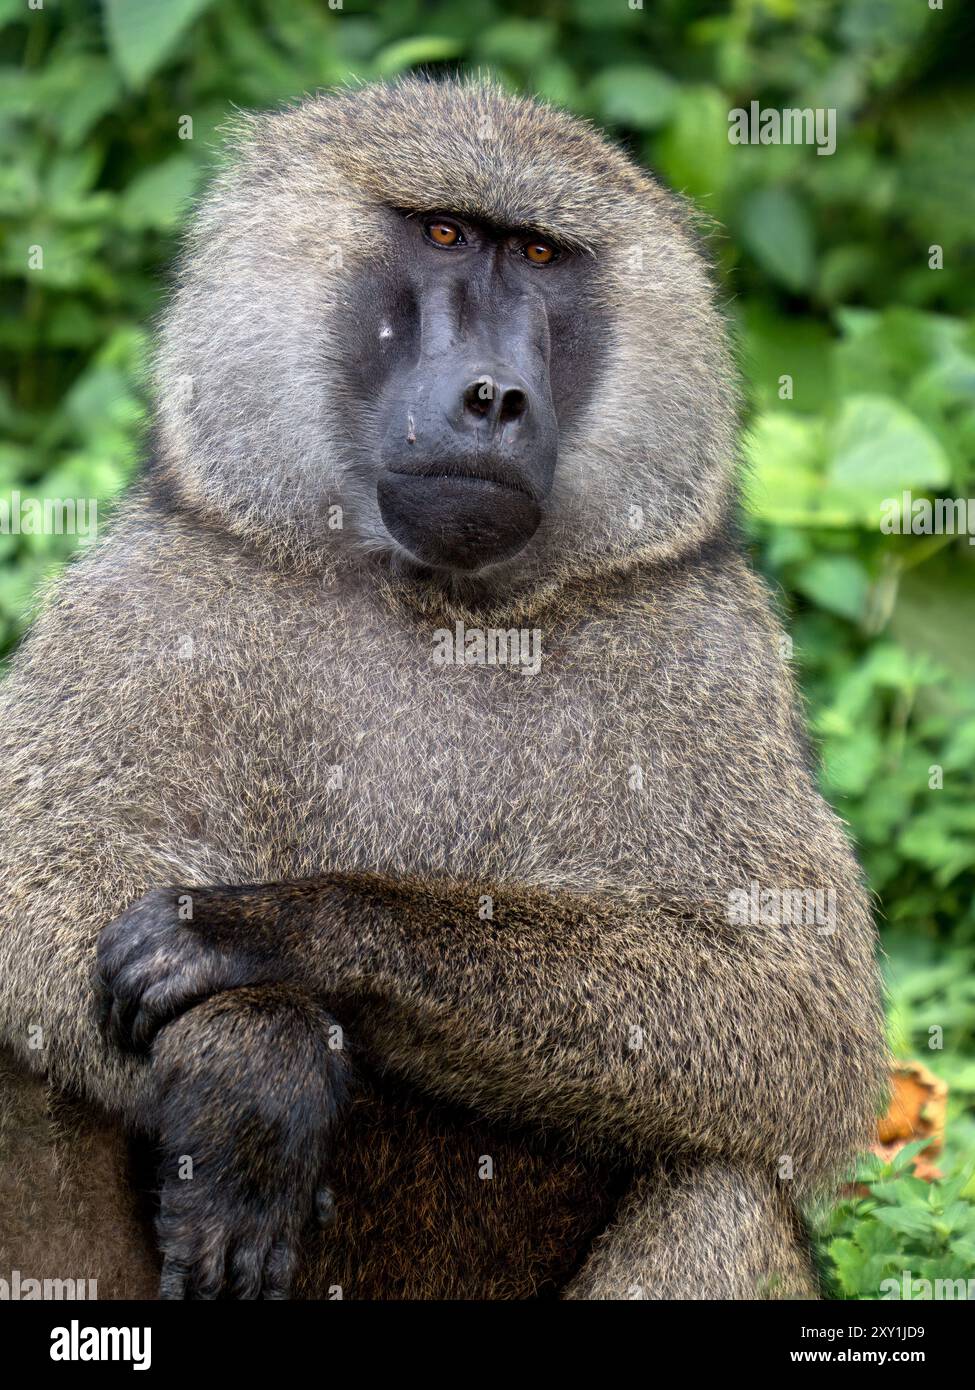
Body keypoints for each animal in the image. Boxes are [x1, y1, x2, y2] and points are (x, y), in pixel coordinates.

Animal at [0, 76, 888, 1300]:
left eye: (542, 254)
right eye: (445, 235)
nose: (495, 397)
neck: (441, 609)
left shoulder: (711, 647)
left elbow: (794, 1007)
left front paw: (277, 931)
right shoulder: (151, 591)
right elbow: (34, 887)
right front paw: (255, 1059)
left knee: (724, 1181)